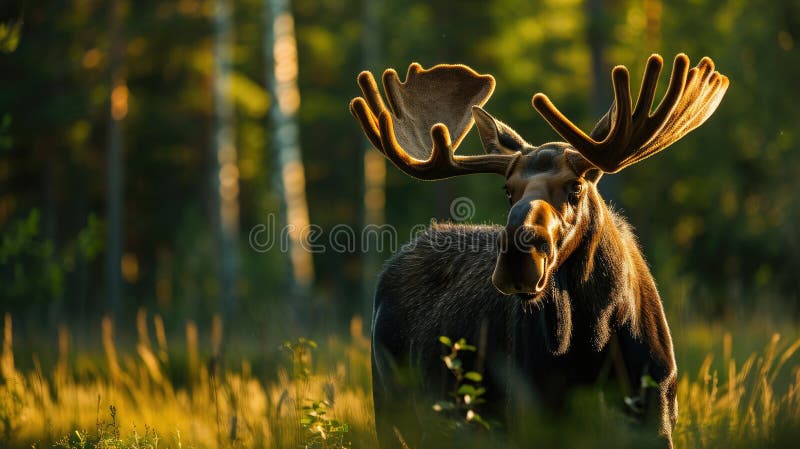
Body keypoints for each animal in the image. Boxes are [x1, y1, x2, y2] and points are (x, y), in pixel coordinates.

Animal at [349, 54, 728, 449]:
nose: (519, 259)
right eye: (507, 189)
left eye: (576, 186)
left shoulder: (657, 415)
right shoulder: (530, 413)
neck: (593, 340)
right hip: (390, 404)